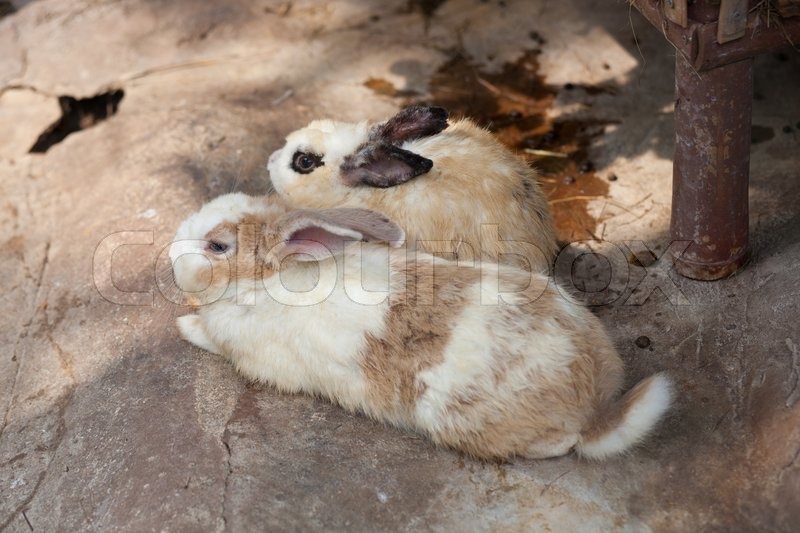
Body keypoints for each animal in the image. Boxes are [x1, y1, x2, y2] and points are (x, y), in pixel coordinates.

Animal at [170, 193, 672, 460]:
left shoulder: (258, 357)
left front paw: (183, 324)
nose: (172, 252)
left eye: (218, 246)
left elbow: (211, 339)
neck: (266, 279)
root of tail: (595, 406)